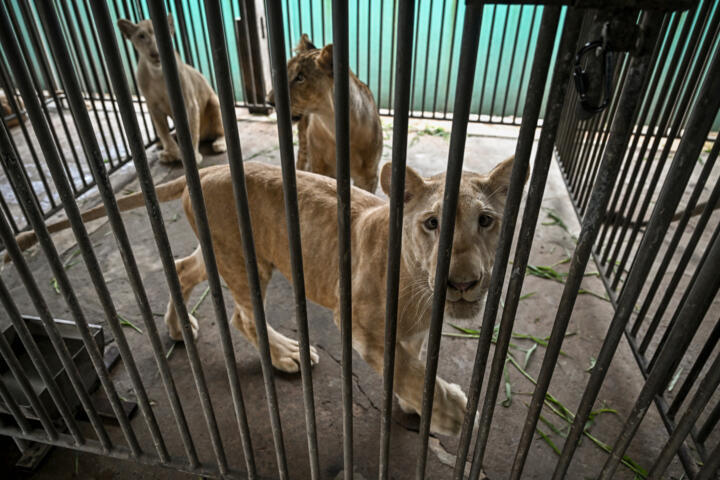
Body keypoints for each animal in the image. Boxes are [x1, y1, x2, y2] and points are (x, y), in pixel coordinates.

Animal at [8, 157, 515, 435]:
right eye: (432, 224)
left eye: (486, 221)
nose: (464, 283)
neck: (419, 289)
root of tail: (208, 168)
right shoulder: (359, 321)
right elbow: (406, 366)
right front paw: (450, 411)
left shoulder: (413, 331)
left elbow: (409, 360)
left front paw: (416, 404)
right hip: (246, 260)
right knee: (243, 317)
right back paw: (286, 354)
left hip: (219, 249)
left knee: (182, 268)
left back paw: (179, 328)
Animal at [117, 15, 226, 164]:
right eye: (141, 36)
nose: (155, 54)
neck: (157, 74)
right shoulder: (153, 107)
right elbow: (163, 132)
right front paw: (172, 152)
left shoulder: (189, 104)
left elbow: (191, 130)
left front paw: (192, 156)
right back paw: (164, 143)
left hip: (214, 101)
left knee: (221, 131)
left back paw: (220, 144)